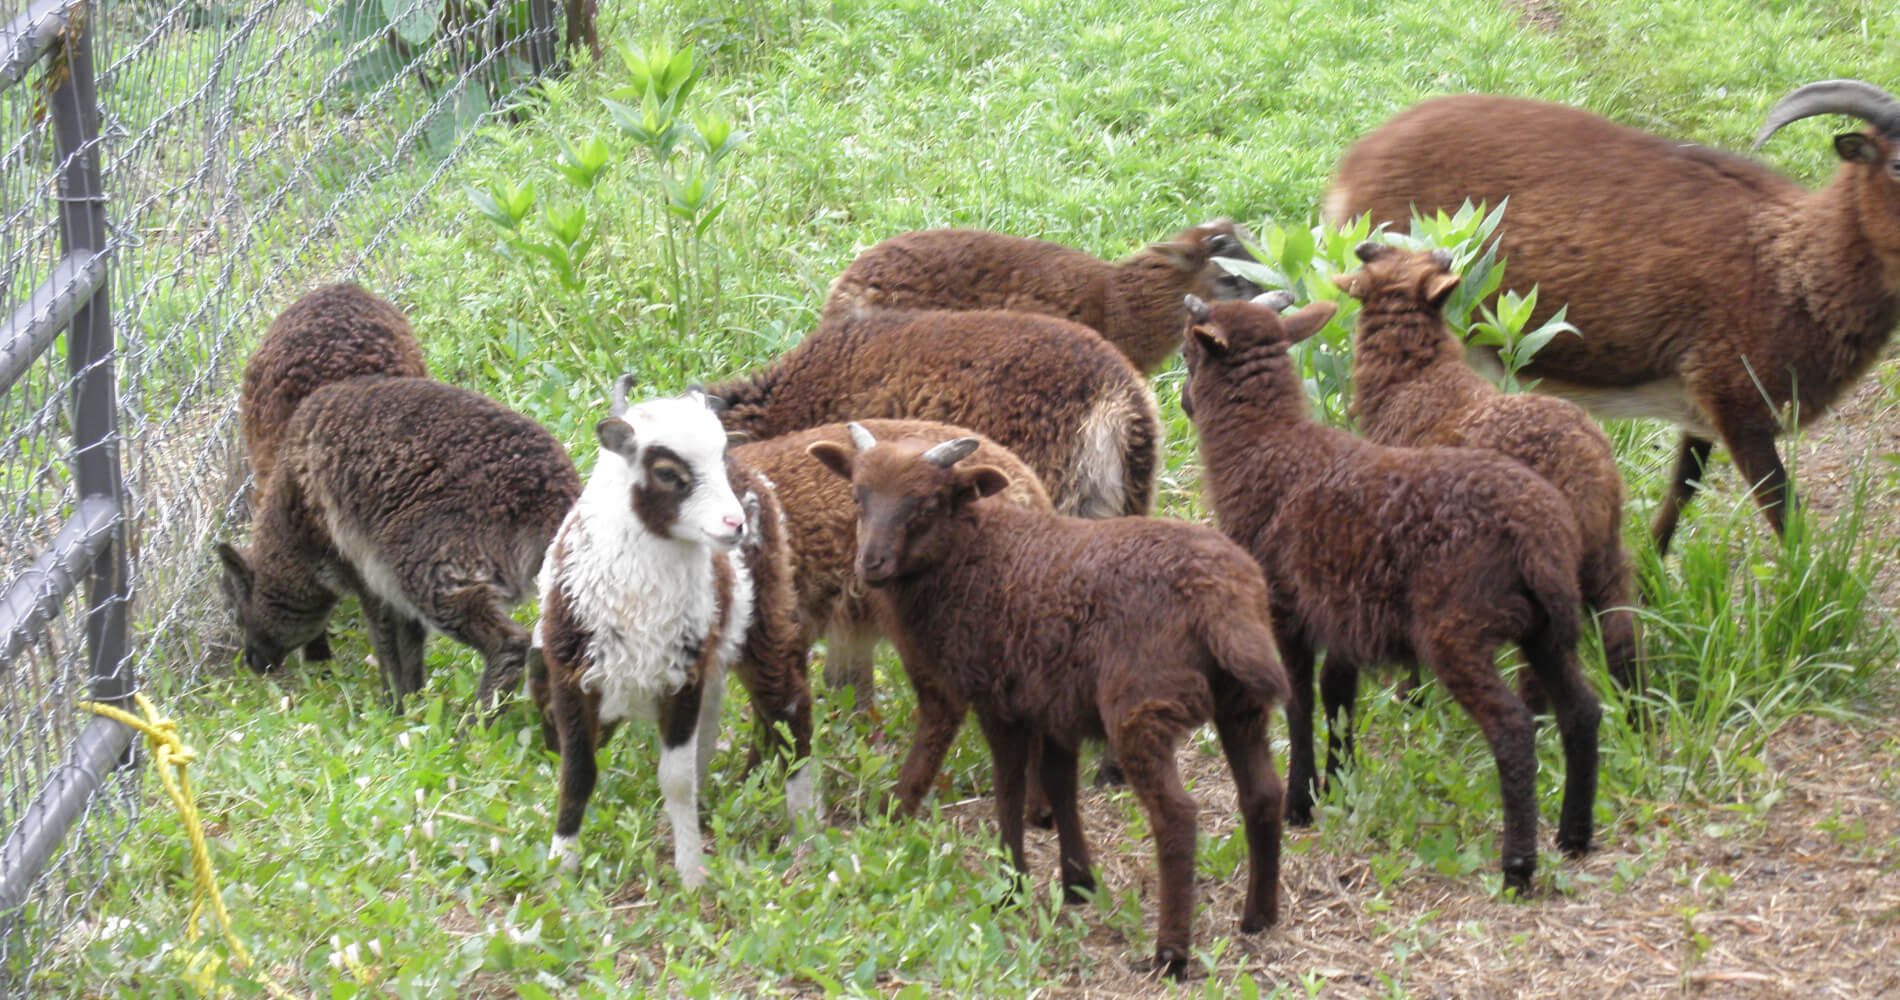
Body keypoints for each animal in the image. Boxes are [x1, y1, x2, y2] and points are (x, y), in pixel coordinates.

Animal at [216, 376, 579, 715]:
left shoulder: (366, 574)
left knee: (510, 643)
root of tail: (554, 496)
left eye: (238, 614)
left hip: (427, 566)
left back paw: (474, 724)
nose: (253, 662)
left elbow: (385, 644)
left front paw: (393, 709)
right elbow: (410, 646)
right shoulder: (391, 590)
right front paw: (413, 707)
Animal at [530, 378, 815, 886]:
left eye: (718, 455)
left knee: (789, 707)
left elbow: (675, 780)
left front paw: (691, 875)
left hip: (762, 623)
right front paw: (561, 867)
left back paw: (803, 827)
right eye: (666, 472)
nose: (735, 524)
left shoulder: (680, 677)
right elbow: (578, 772)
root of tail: (752, 473)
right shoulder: (572, 676)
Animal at [807, 423, 1288, 976]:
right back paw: (1259, 916)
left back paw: (1171, 951)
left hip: (1141, 707)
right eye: (856, 496)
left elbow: (1009, 788)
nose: (871, 565)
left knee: (1177, 816)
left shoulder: (997, 698)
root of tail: (1220, 598)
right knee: (1263, 796)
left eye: (926, 504)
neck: (972, 554)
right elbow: (1059, 785)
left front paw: (1010, 883)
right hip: (1242, 703)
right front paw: (1077, 880)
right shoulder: (1055, 703)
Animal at [1180, 294, 1602, 894]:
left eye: (1187, 353)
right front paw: (1339, 783)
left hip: (1457, 629)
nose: (1183, 401)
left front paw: (1300, 801)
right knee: (1582, 712)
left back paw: (1519, 865)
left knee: (1514, 728)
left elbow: (1301, 703)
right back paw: (1574, 835)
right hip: (1544, 629)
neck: (1265, 449)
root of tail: (1536, 531)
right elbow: (1337, 696)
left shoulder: (1285, 610)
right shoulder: (1340, 614)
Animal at [1324, 80, 1900, 552]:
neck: (1794, 266)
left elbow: (1679, 496)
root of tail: (1353, 166)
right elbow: (1789, 523)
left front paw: (1648, 583)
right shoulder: (1741, 404)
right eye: (1896, 163)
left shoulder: (1701, 409)